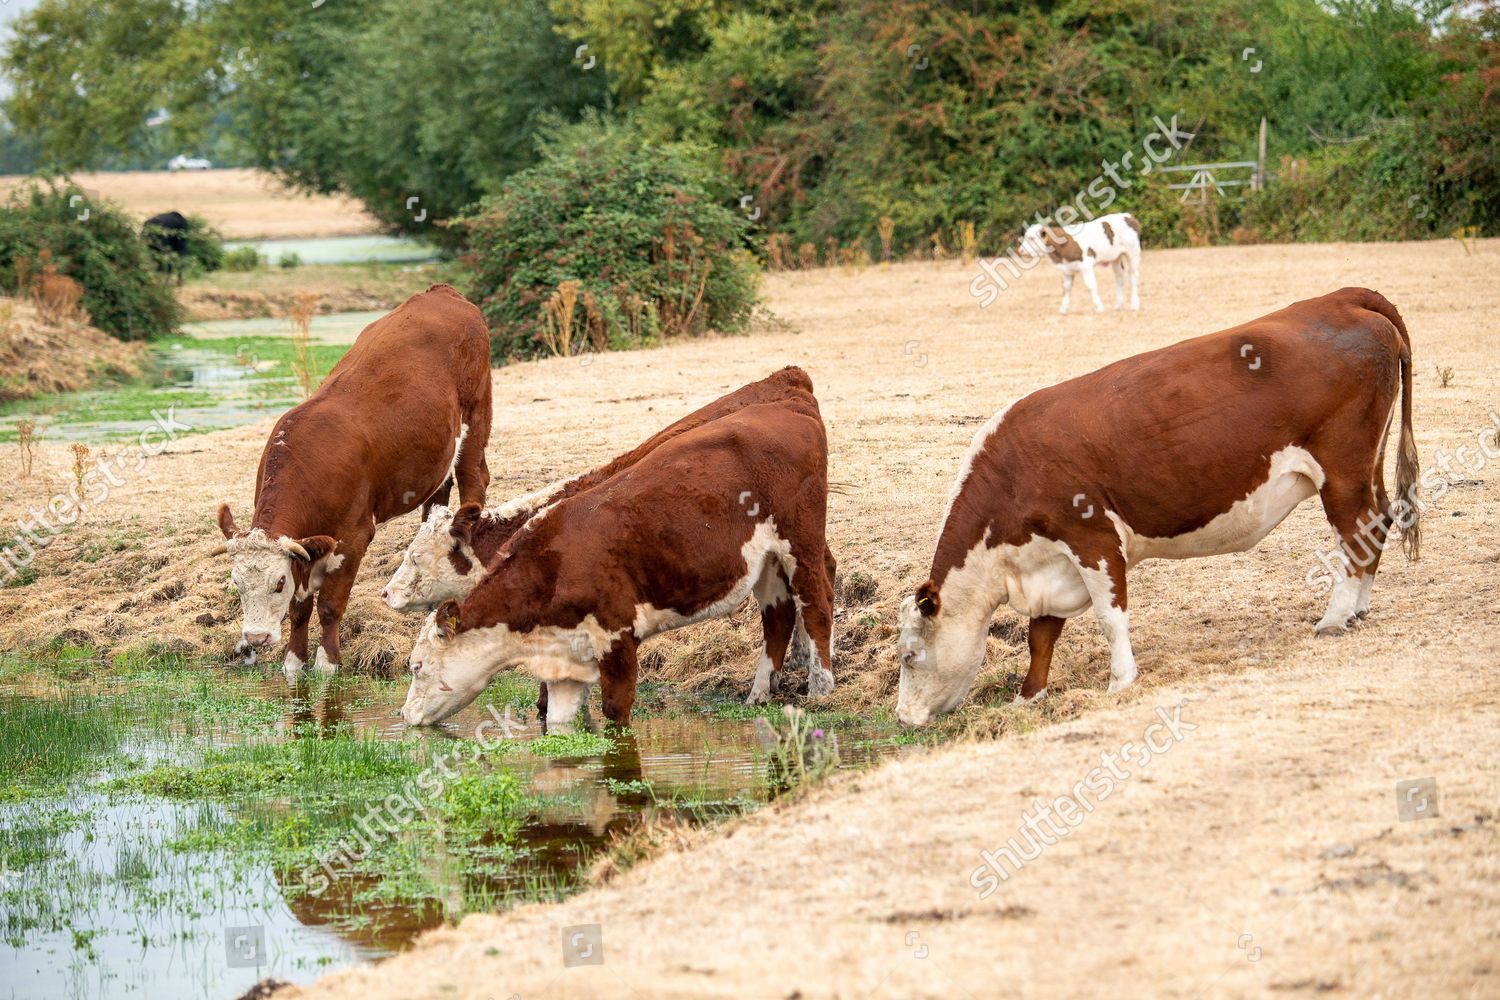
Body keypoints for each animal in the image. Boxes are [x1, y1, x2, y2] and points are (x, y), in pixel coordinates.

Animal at [214, 284, 492, 683]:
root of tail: (441, 292)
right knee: (437, 501)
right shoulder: (307, 548)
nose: (256, 637)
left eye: (278, 582)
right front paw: (293, 662)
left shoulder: (353, 537)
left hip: (476, 417)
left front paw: (328, 663)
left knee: (474, 482)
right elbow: (300, 608)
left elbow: (329, 605)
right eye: (236, 584)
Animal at [382, 366, 836, 719]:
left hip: (800, 541)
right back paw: (767, 686)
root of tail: (789, 382)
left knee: (816, 600)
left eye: (415, 557)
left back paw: (820, 686)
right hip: (767, 559)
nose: (386, 593)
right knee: (784, 610)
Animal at [895, 287, 1418, 726]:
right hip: (1366, 466)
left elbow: (1110, 618)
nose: (901, 718)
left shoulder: (1092, 538)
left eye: (909, 656)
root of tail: (1342, 298)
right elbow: (1040, 637)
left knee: (1353, 533)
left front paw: (1120, 682)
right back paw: (1358, 610)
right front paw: (1028, 697)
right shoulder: (1050, 562)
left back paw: (1334, 619)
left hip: (1342, 471)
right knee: (1377, 523)